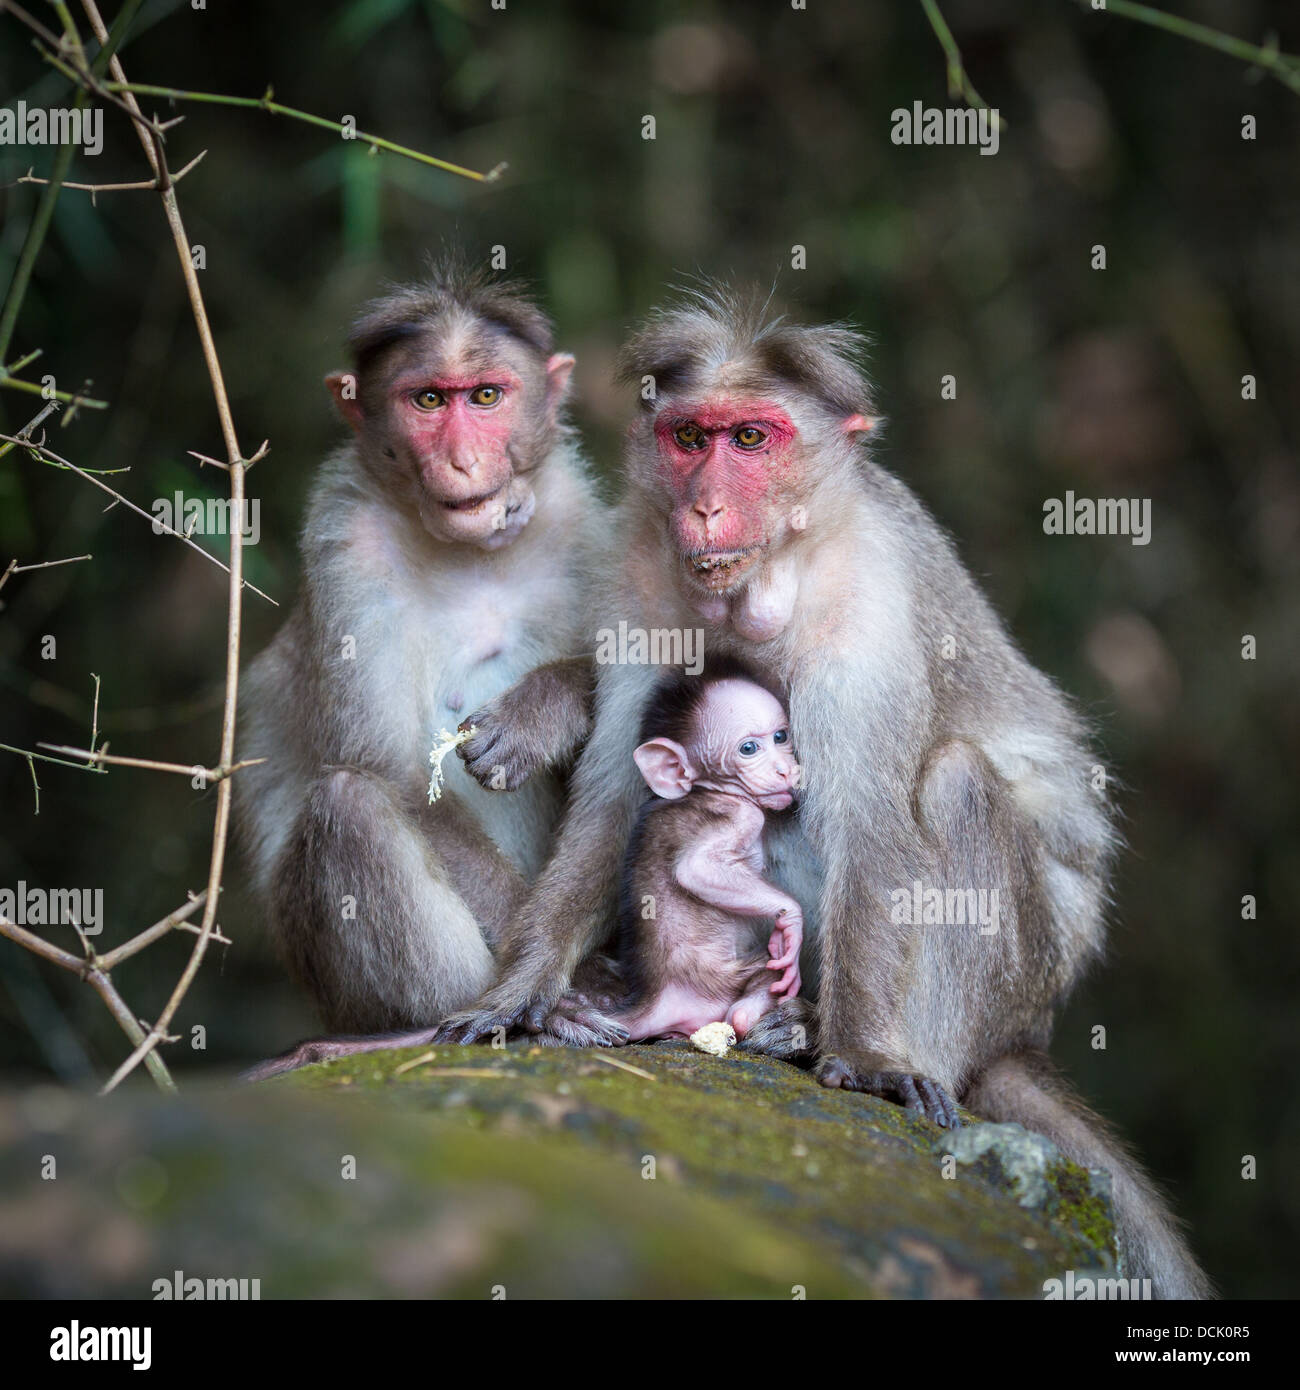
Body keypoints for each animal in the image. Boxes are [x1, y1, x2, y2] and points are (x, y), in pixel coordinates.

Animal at [236, 259, 606, 1079]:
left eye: (487, 396)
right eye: (429, 400)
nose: (463, 460)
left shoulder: (579, 520)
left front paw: (542, 712)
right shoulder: (344, 536)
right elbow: (391, 767)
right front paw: (554, 981)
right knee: (350, 805)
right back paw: (430, 1025)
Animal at [607, 662, 804, 1042]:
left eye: (780, 737)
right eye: (748, 749)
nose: (785, 770)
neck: (708, 788)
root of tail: (653, 1003)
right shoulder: (740, 815)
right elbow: (696, 868)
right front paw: (790, 926)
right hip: (725, 981)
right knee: (752, 996)